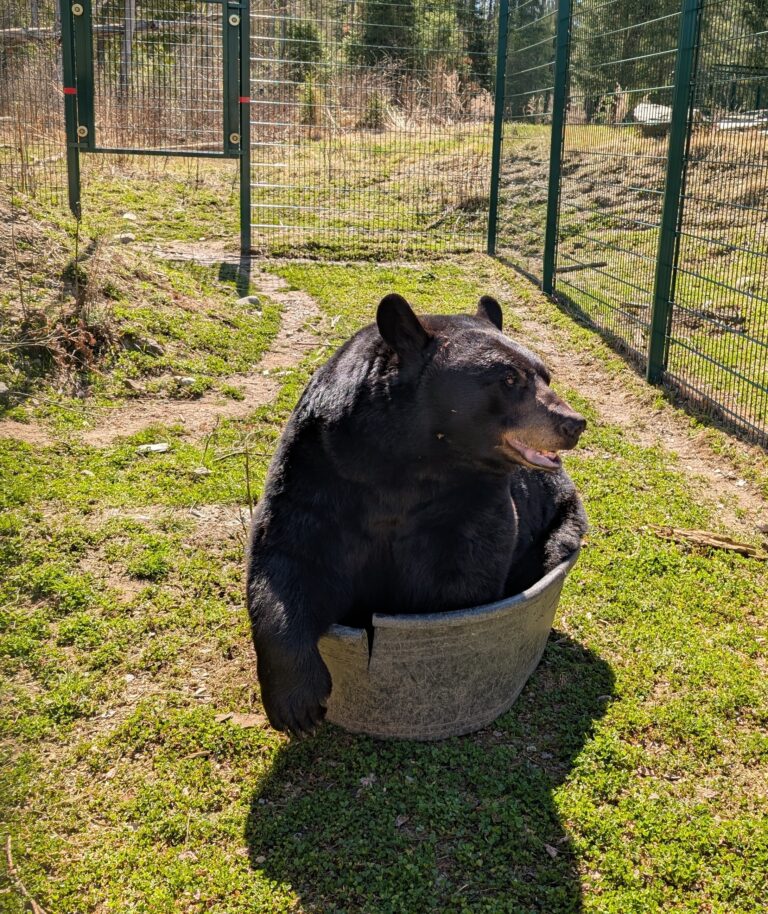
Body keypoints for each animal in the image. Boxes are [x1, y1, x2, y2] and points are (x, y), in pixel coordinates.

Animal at [247, 293, 587, 736]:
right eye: (510, 379)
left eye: (546, 375)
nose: (573, 423)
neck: (411, 466)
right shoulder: (318, 471)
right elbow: (289, 558)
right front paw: (297, 704)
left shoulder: (468, 506)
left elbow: (456, 578)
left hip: (561, 515)